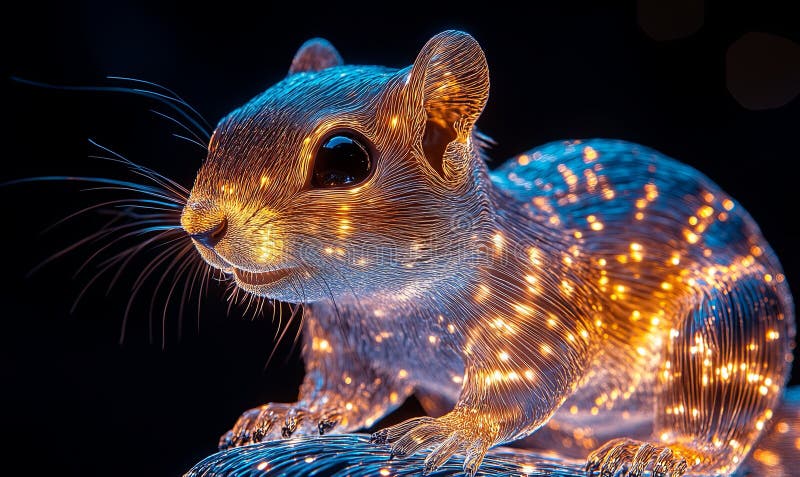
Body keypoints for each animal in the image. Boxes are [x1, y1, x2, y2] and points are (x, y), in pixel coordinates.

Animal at [177, 31, 798, 476]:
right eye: (221, 132)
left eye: (344, 160)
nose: (200, 227)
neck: (390, 306)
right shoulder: (350, 344)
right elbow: (346, 393)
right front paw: (294, 412)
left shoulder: (542, 312)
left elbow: (528, 379)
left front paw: (457, 428)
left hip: (728, 324)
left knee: (721, 417)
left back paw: (662, 452)